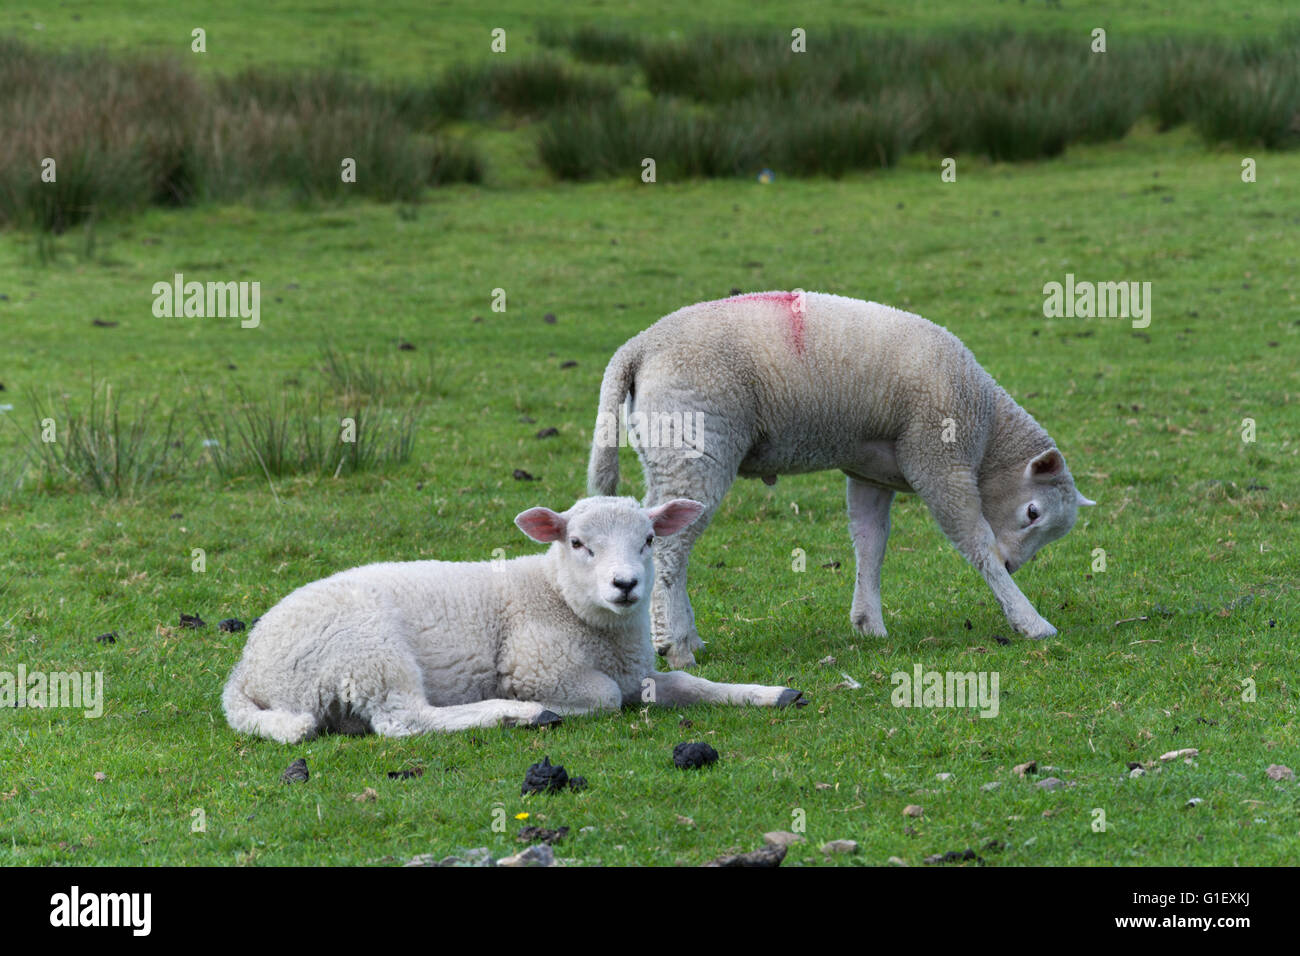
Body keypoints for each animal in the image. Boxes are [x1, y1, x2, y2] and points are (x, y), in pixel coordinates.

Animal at [221, 496, 806, 742]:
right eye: (578, 543)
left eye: (647, 539)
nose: (625, 585)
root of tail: (245, 674)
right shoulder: (535, 664)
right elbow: (605, 698)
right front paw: (550, 707)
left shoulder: (637, 669)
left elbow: (687, 681)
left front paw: (770, 693)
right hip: (367, 652)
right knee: (403, 720)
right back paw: (520, 715)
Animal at [587, 291, 1095, 668]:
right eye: (1032, 512)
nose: (1014, 565)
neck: (988, 431)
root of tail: (638, 348)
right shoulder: (940, 462)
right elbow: (977, 544)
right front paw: (1030, 621)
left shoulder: (871, 474)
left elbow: (871, 543)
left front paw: (869, 623)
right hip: (694, 451)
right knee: (672, 551)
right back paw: (674, 648)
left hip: (671, 456)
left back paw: (688, 638)